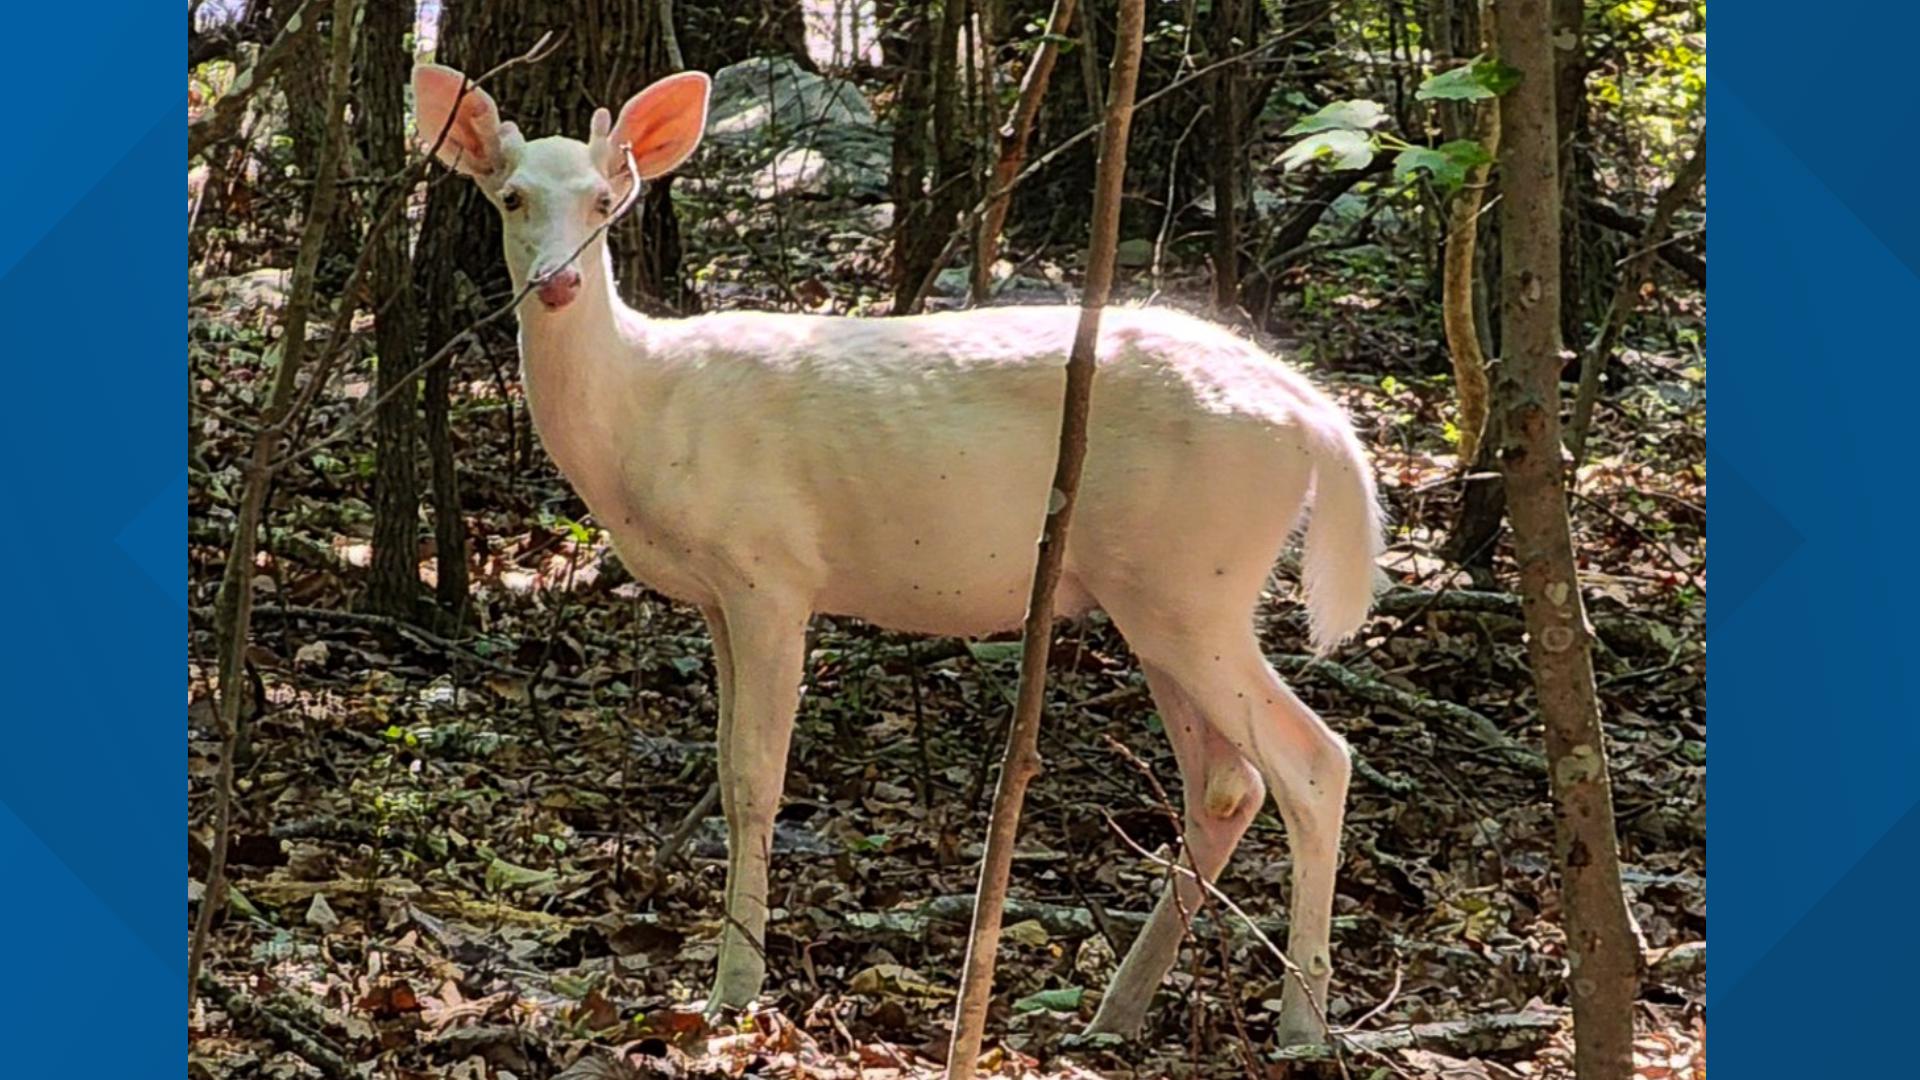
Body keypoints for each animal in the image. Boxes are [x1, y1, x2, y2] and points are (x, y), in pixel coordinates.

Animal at [412, 63, 1383, 1046]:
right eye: (511, 196)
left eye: (606, 202)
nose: (557, 282)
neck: (644, 410)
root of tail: (1313, 415)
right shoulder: (716, 595)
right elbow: (723, 765)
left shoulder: (770, 568)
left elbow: (756, 777)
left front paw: (734, 988)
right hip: (1160, 590)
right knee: (1226, 784)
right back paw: (1117, 1010)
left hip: (1194, 576)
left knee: (1312, 761)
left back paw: (1300, 1024)